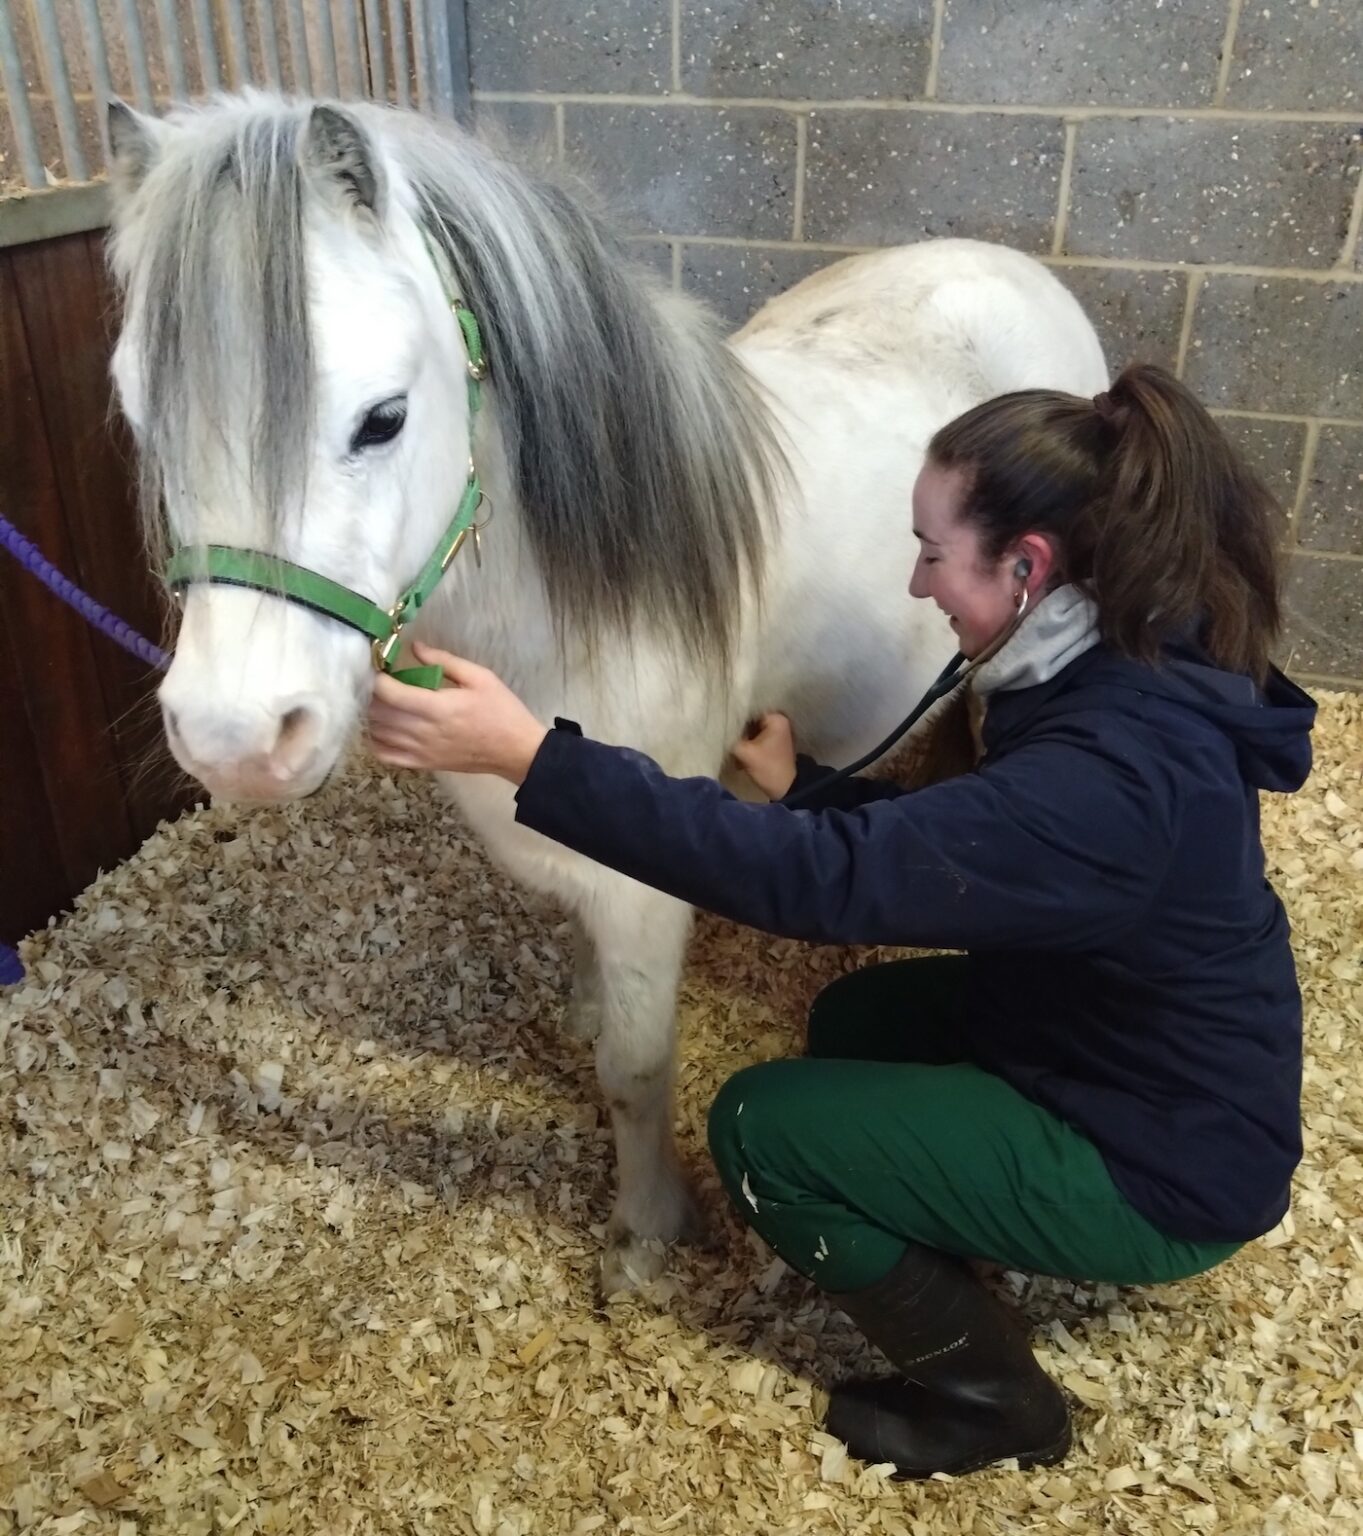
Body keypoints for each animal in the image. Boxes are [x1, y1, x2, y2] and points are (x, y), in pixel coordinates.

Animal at [104, 91, 1108, 1294]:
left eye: (382, 417)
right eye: (140, 414)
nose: (234, 739)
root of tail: (1006, 265)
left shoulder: (645, 887)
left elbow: (634, 1073)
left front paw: (643, 1238)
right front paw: (581, 1012)